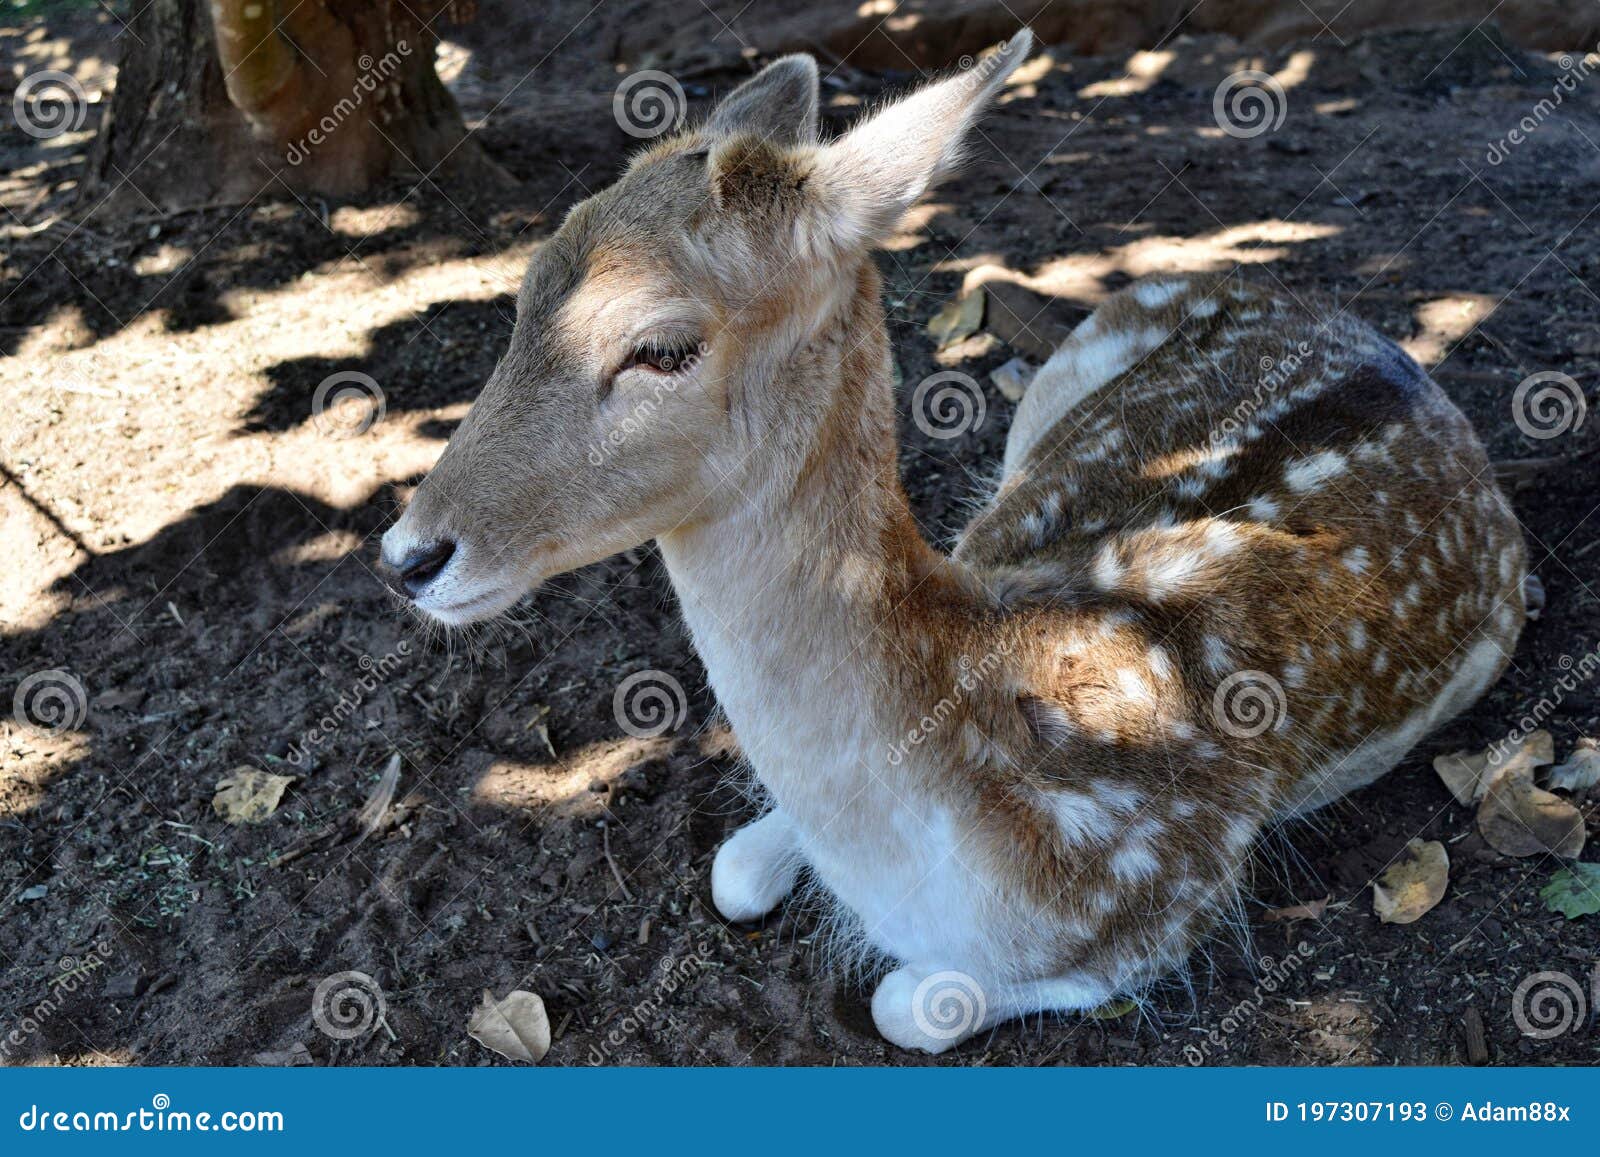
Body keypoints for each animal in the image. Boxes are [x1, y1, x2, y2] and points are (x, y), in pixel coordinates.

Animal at [379, 29, 1528, 1053]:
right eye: (524, 294)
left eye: (660, 347)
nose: (406, 556)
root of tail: (1392, 346)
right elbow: (735, 872)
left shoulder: (1173, 894)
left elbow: (907, 1002)